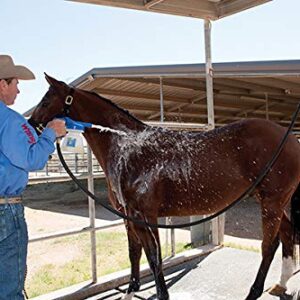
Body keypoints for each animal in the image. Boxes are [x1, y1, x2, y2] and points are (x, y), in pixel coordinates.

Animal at [28, 73, 300, 300]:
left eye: (46, 100)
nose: (31, 125)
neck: (127, 146)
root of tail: (290, 139)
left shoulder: (142, 215)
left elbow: (153, 255)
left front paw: (161, 294)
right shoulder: (130, 216)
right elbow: (136, 252)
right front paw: (131, 290)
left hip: (272, 203)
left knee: (269, 246)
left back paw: (255, 291)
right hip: (271, 201)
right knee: (287, 235)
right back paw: (281, 284)